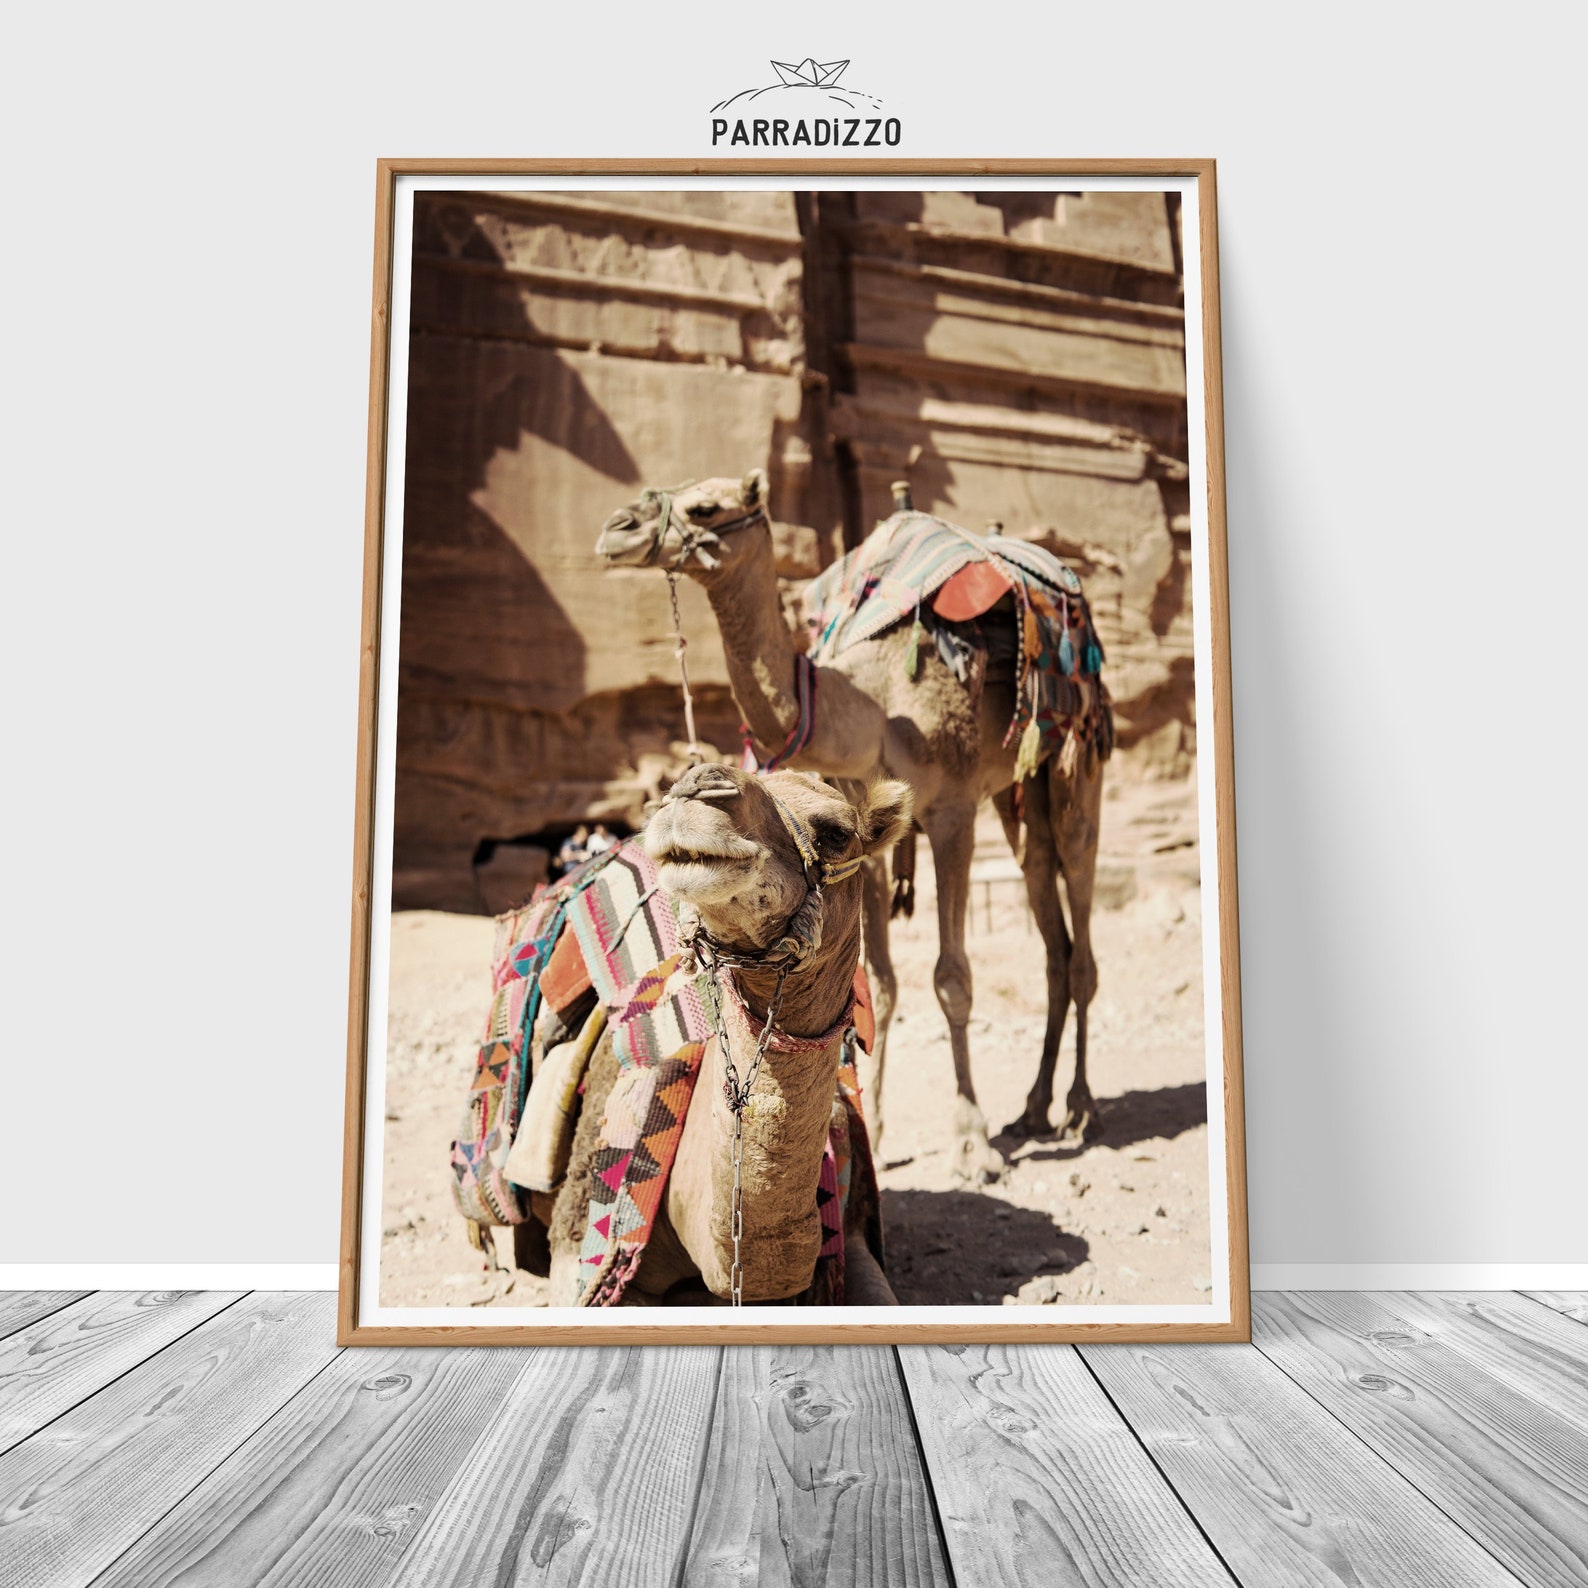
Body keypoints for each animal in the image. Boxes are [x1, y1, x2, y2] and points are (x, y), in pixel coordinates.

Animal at [596, 472, 1107, 1185]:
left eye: (707, 506)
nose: (617, 528)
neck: (875, 706)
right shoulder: (868, 841)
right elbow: (884, 985)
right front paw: (883, 1136)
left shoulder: (951, 810)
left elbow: (952, 978)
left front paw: (972, 1145)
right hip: (1019, 790)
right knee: (1044, 897)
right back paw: (1034, 1108)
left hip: (1073, 757)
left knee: (1078, 897)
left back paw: (1081, 1108)